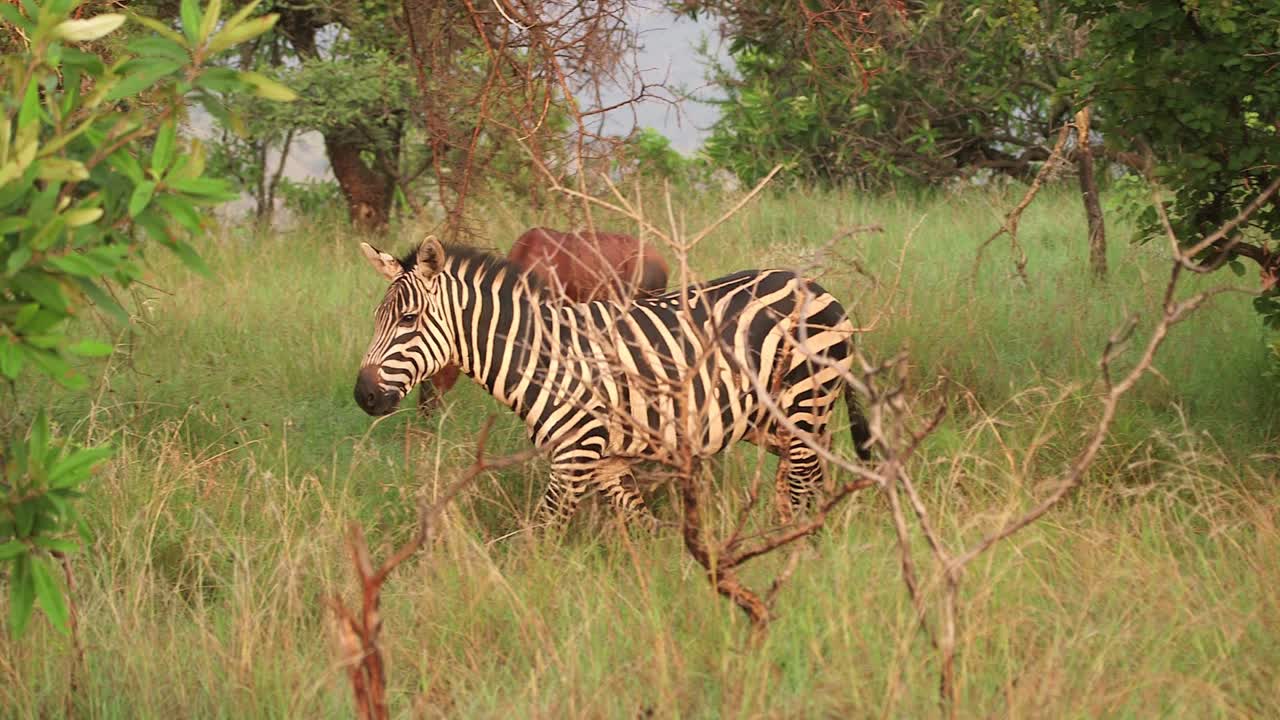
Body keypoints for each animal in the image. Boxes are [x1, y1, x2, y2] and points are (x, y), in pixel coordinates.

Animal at [354, 236, 872, 530]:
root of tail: (816, 286)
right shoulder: (602, 461)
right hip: (774, 421)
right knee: (811, 478)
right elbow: (642, 523)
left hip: (804, 404)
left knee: (805, 485)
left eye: (408, 320)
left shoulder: (574, 456)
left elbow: (541, 535)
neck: (541, 358)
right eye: (376, 319)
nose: (364, 396)